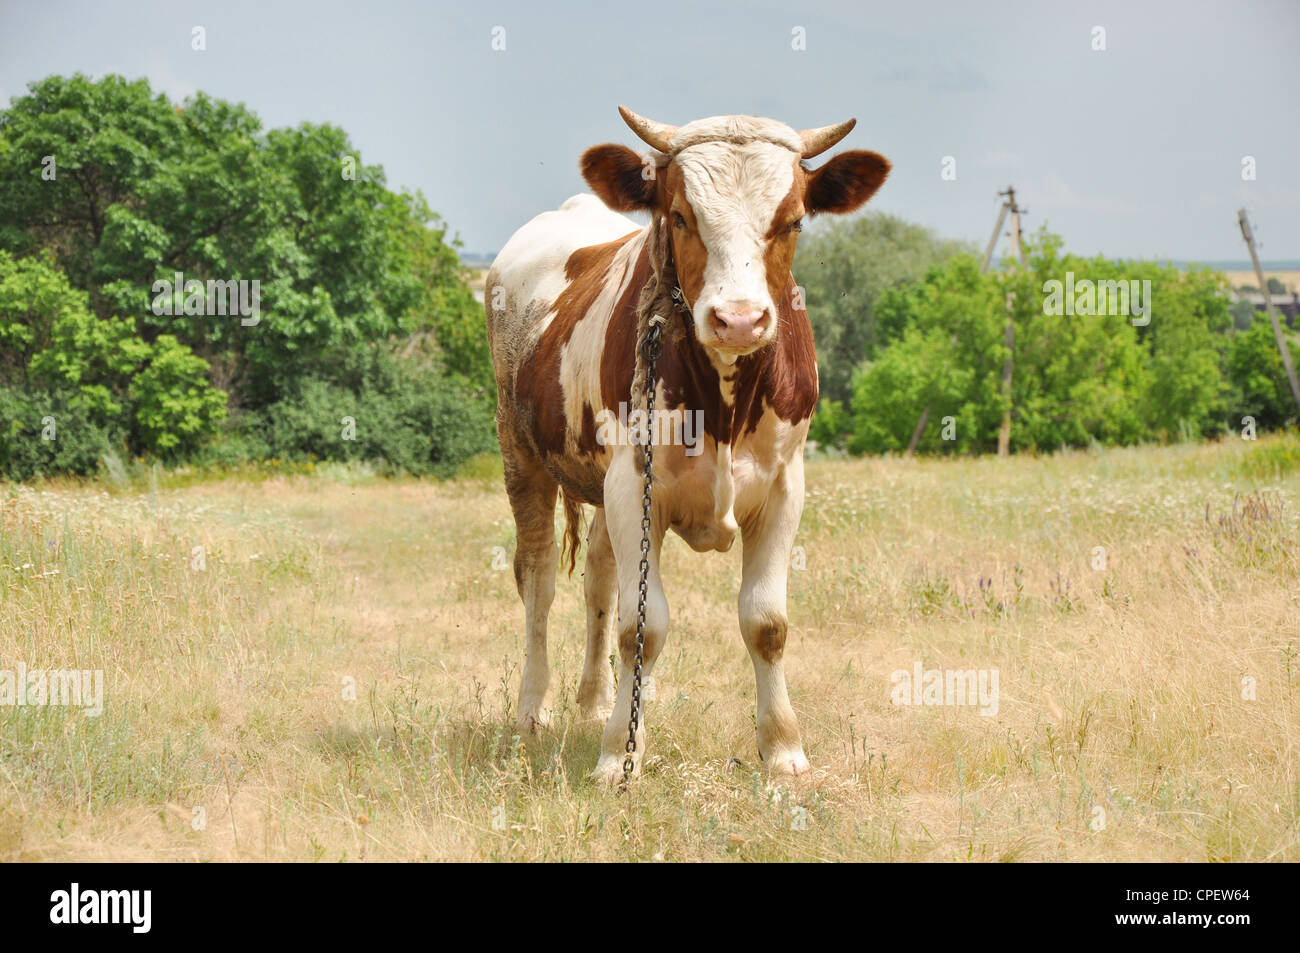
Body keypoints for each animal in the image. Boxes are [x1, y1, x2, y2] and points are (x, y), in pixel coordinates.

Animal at [486, 107, 889, 783]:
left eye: (793, 220)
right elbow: (642, 627)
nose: (740, 320)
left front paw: (782, 748)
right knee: (538, 580)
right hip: (522, 456)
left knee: (599, 578)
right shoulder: (634, 485)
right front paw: (619, 755)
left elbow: (766, 623)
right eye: (679, 216)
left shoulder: (784, 486)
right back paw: (532, 709)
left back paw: (597, 700)